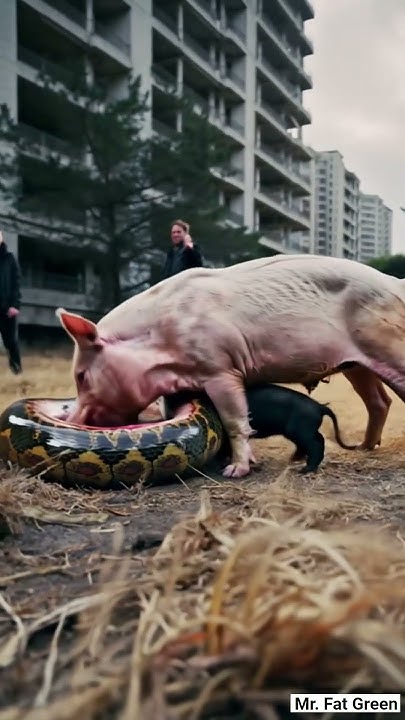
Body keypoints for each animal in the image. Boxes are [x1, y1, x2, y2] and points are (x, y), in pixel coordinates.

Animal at [56, 253, 401, 479]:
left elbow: (235, 421)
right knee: (379, 401)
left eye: (81, 376)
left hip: (390, 345)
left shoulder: (221, 368)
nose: (71, 419)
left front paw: (235, 470)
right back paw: (365, 448)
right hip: (356, 364)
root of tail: (396, 283)